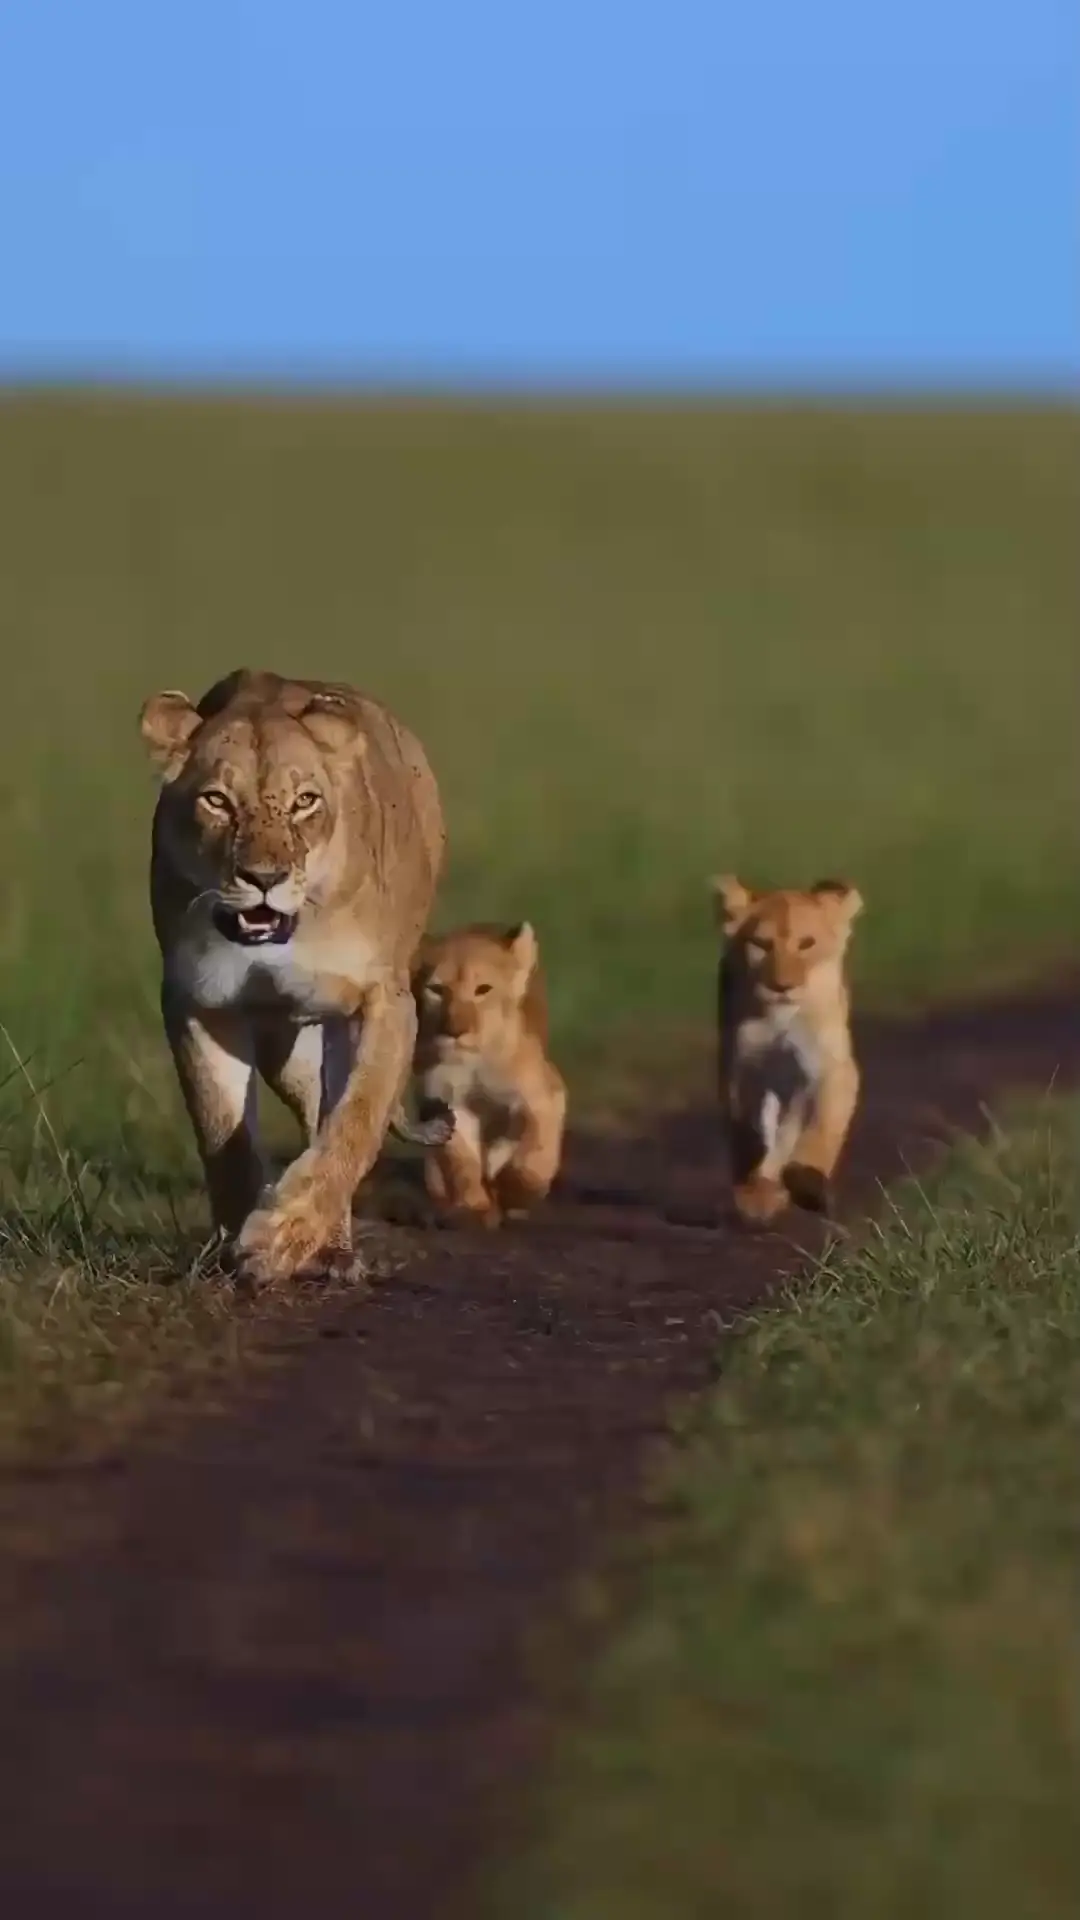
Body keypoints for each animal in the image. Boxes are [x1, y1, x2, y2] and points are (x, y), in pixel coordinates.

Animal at [139, 667, 452, 1286]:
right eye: (217, 800)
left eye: (305, 801)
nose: (265, 878)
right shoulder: (198, 999)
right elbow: (221, 1129)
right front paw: (240, 1244)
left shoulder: (385, 1001)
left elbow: (355, 1123)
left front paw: (278, 1237)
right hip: (285, 1047)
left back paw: (331, 1248)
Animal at [412, 921, 567, 1228]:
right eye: (436, 989)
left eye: (483, 989)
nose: (455, 1031)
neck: (476, 1062)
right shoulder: (446, 1102)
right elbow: (462, 1161)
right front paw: (474, 1207)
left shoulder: (544, 1095)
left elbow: (537, 1149)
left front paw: (516, 1191)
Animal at [711, 874, 863, 1226]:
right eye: (761, 944)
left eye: (807, 943)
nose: (782, 986)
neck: (780, 1017)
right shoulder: (740, 1065)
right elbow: (747, 1128)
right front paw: (753, 1192)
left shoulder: (828, 1067)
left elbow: (822, 1126)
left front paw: (806, 1184)